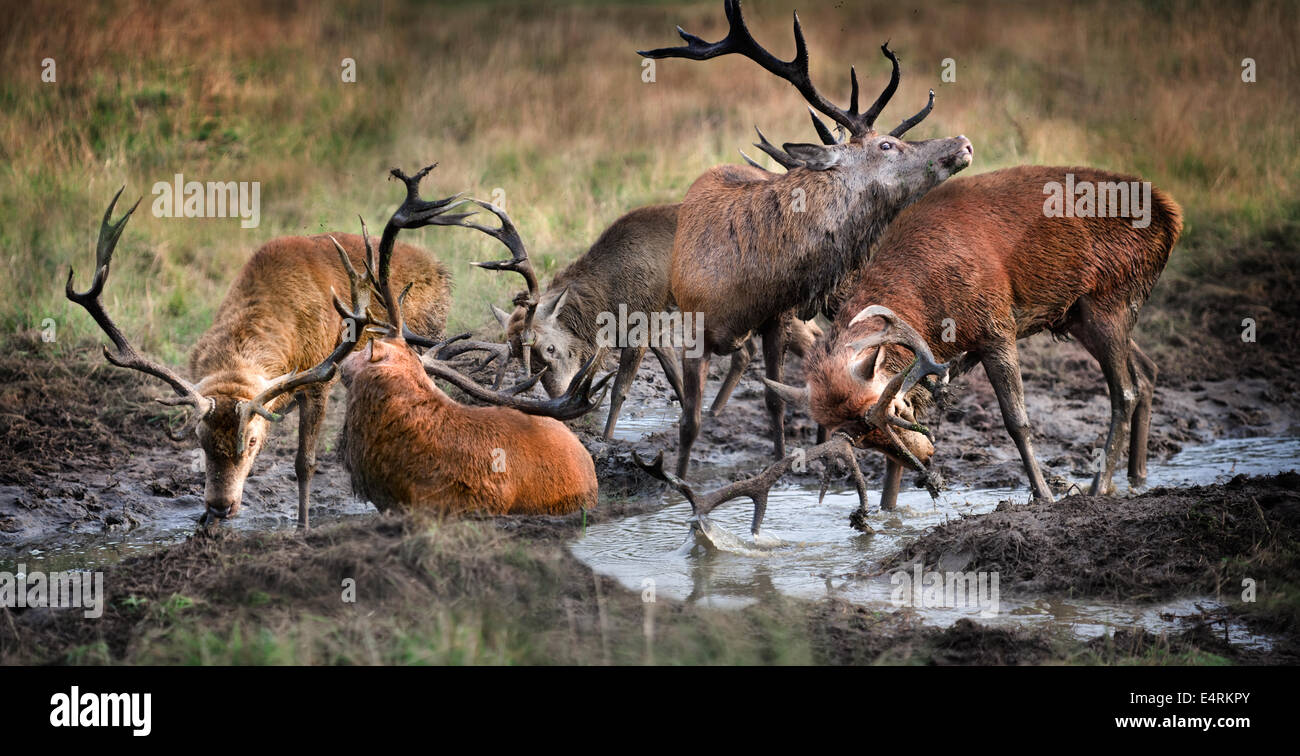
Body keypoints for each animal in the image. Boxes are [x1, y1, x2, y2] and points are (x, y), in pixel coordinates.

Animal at [65, 169, 480, 529]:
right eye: (200, 438)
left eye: (251, 440)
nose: (220, 506)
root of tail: (441, 269)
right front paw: (200, 526)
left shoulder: (319, 380)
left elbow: (304, 463)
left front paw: (303, 527)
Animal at [475, 201, 822, 440]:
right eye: (521, 358)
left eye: (549, 349)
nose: (561, 400)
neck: (609, 305)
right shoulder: (658, 330)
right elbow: (676, 377)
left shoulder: (640, 326)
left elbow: (620, 389)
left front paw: (607, 439)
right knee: (748, 350)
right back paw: (715, 411)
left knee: (813, 341)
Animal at [639, 0, 973, 478]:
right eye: (887, 146)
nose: (962, 142)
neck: (742, 289)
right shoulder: (693, 325)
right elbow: (690, 420)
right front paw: (678, 479)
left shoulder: (776, 317)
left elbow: (774, 401)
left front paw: (784, 463)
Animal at [655, 164, 1182, 536]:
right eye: (862, 440)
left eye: (894, 411)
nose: (928, 466)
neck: (930, 305)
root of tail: (1172, 214)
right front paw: (887, 514)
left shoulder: (997, 326)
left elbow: (1016, 420)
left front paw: (1044, 498)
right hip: (1082, 316)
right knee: (1149, 371)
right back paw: (1137, 475)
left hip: (1109, 301)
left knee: (1125, 390)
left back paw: (1100, 485)